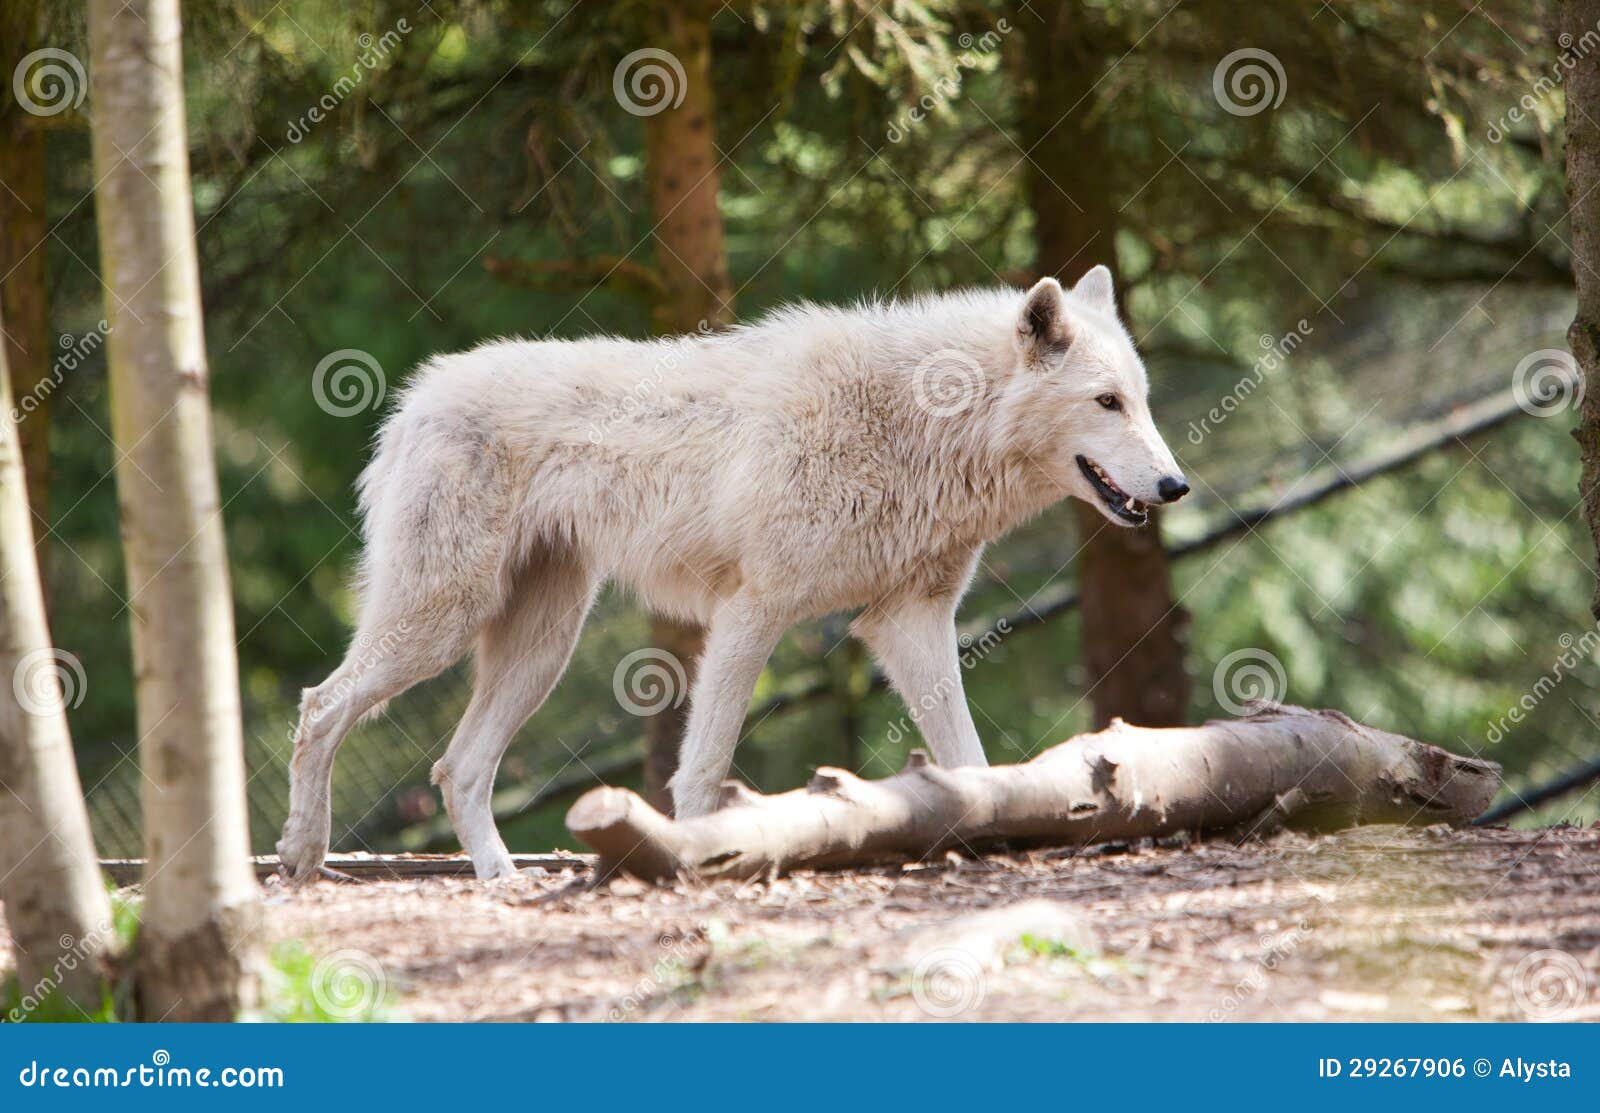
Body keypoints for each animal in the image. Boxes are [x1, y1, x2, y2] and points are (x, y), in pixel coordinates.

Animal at [276, 266, 1189, 880]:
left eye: (1143, 399)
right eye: (1107, 402)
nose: (1175, 485)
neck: (924, 420)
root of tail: (414, 397)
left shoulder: (910, 619)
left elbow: (968, 762)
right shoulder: (754, 611)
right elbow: (705, 767)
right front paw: (697, 854)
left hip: (539, 646)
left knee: (457, 767)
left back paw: (500, 881)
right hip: (442, 622)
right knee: (321, 706)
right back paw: (301, 858)